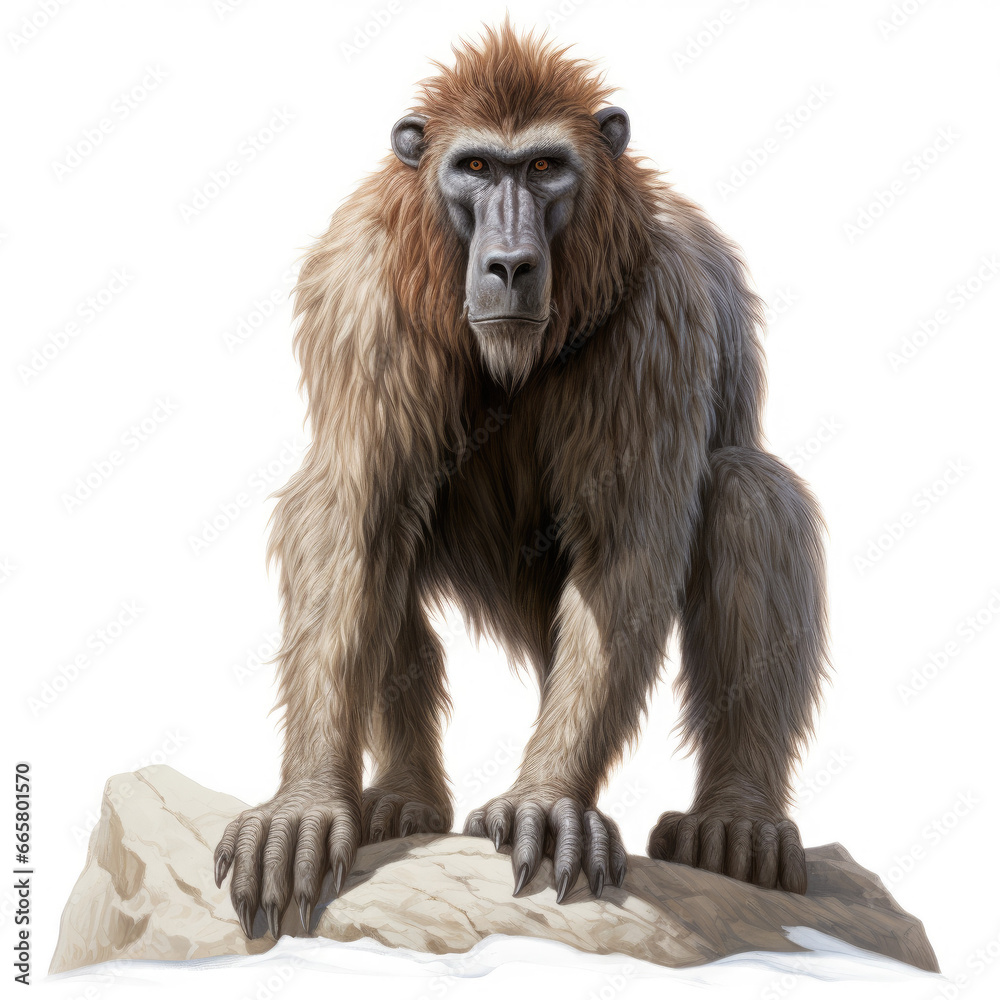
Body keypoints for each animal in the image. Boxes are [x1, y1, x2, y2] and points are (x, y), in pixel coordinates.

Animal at [213, 22, 828, 939]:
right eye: (475, 167)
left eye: (543, 167)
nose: (506, 262)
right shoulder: (361, 288)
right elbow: (353, 526)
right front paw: (307, 803)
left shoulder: (660, 311)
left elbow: (625, 556)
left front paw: (546, 798)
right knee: (373, 522)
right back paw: (403, 797)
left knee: (747, 493)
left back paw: (738, 820)